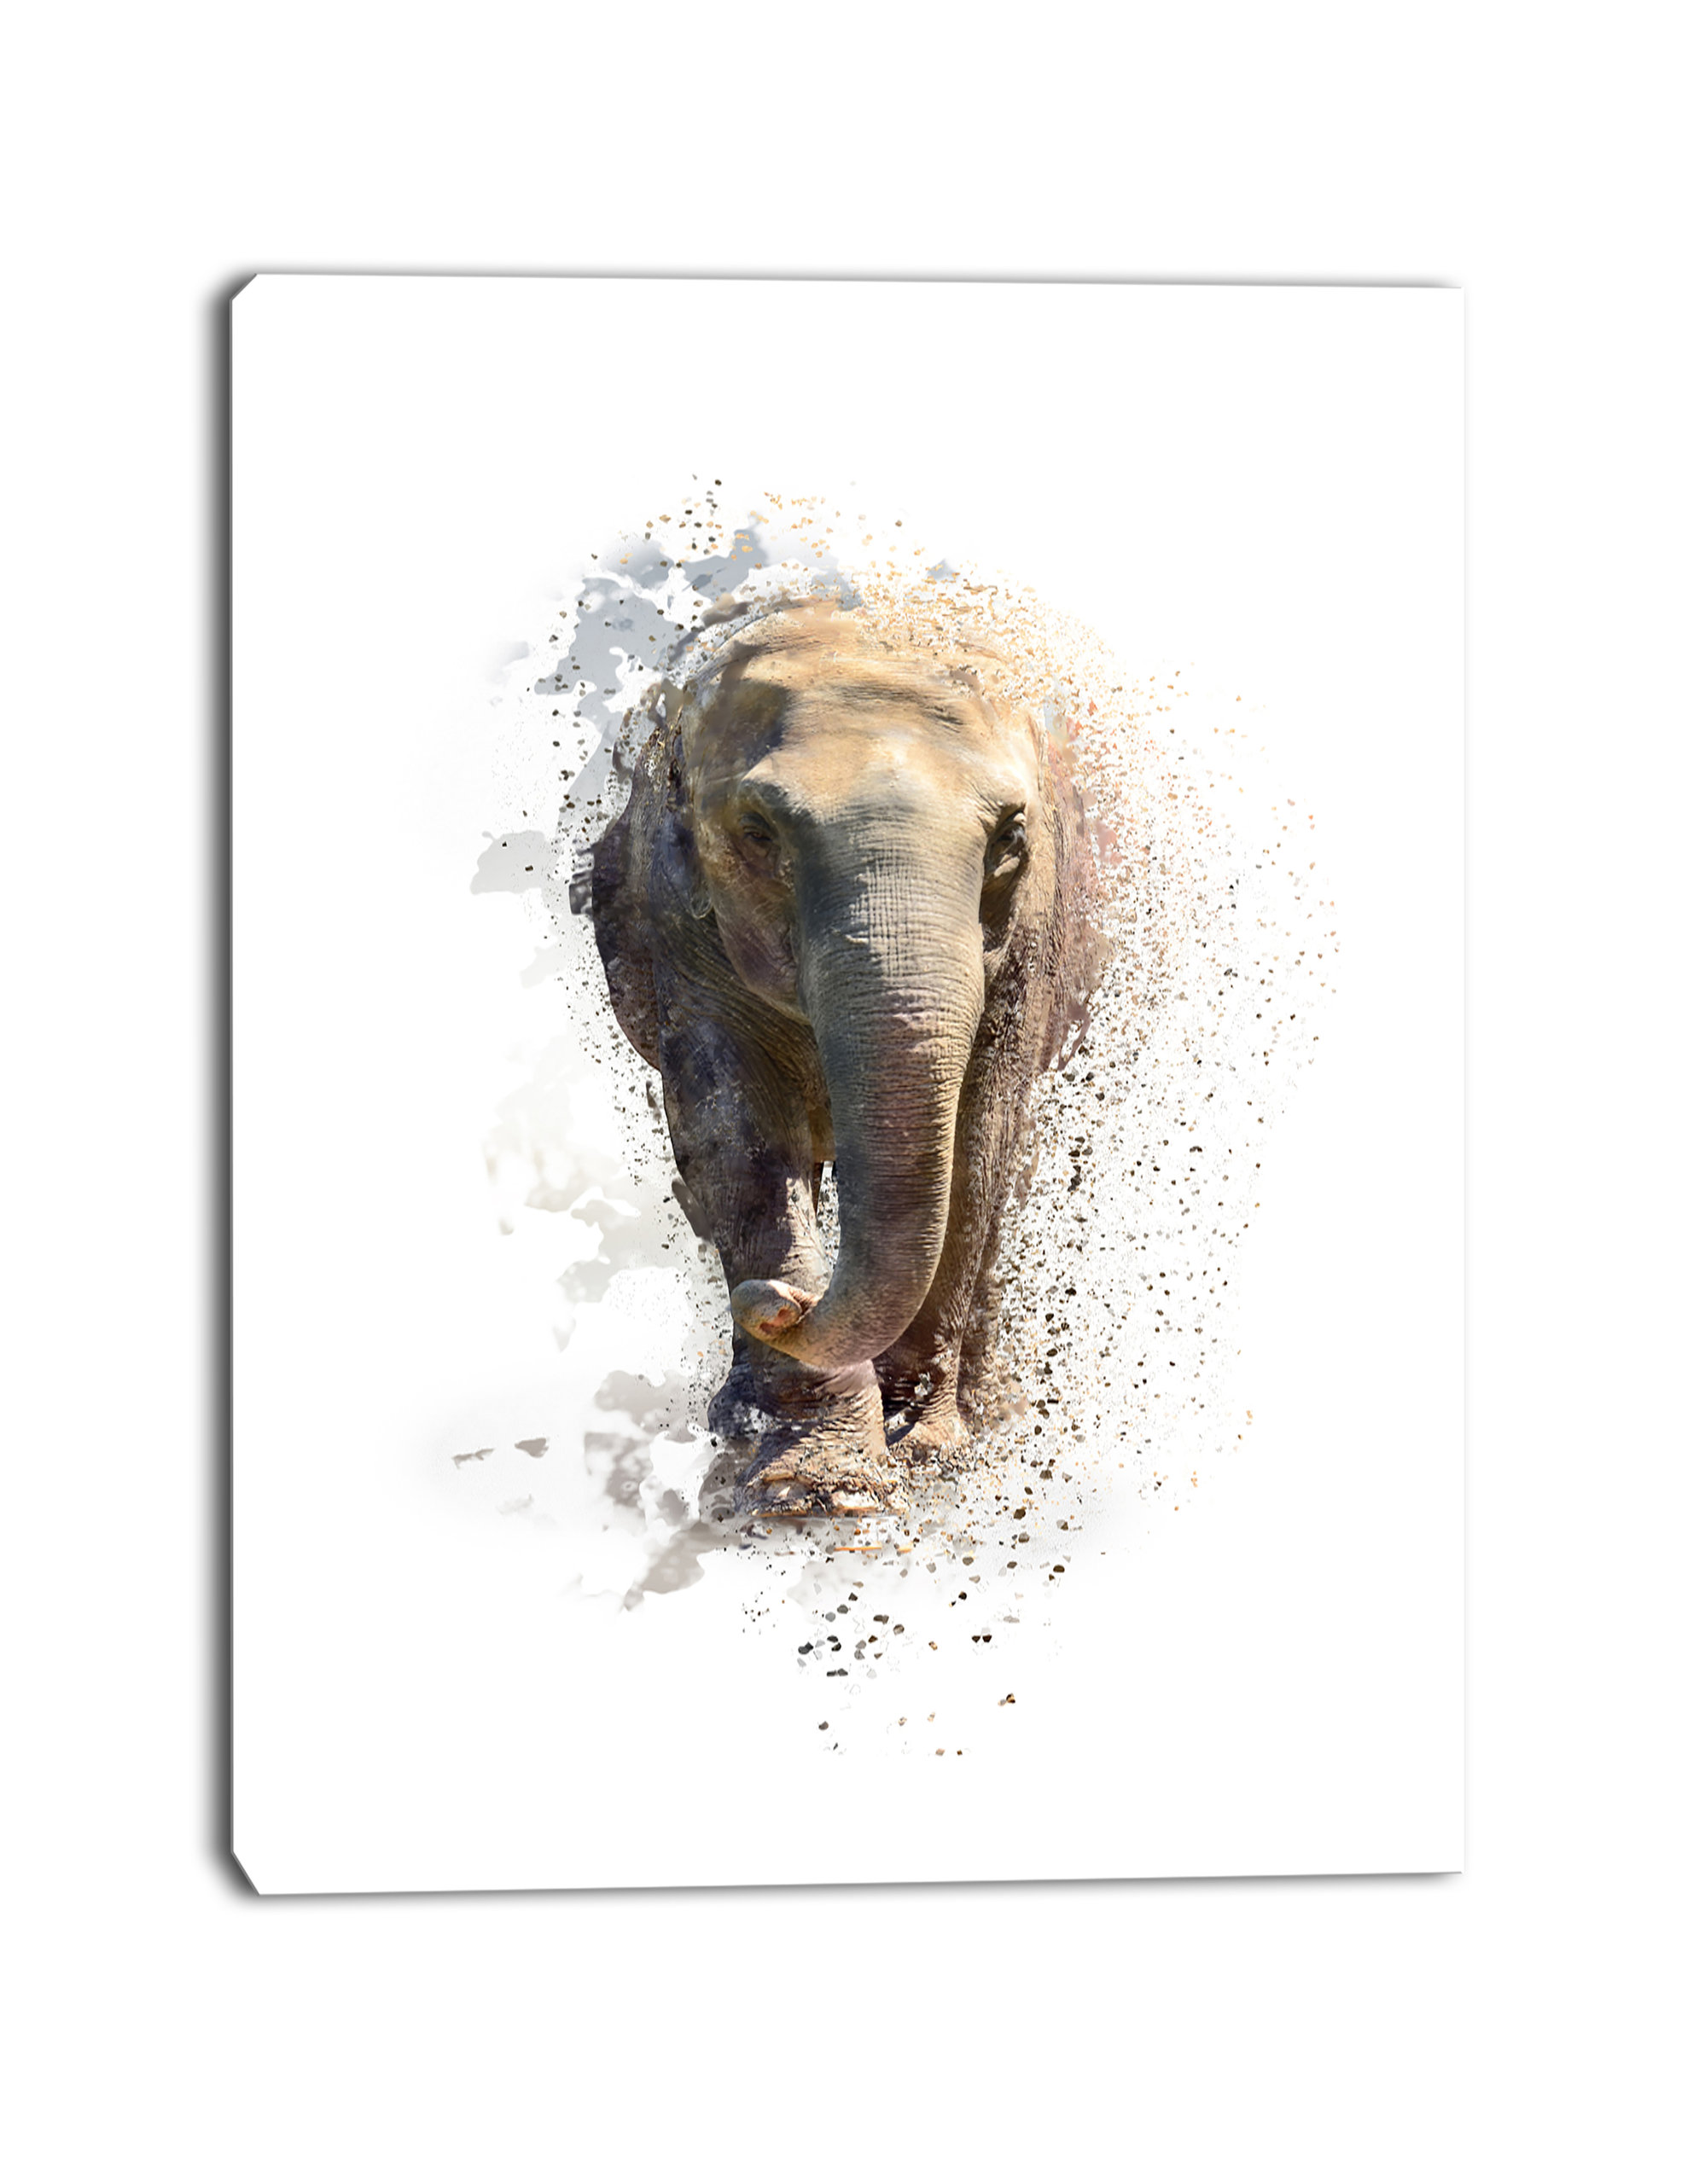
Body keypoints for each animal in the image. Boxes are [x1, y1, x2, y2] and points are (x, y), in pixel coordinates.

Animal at [584, 598, 1103, 1517]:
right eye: (756, 831)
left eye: (1011, 834)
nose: (776, 1305)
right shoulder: (671, 918)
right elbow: (735, 1137)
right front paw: (812, 1488)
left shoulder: (1035, 934)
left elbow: (977, 1144)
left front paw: (923, 1449)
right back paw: (738, 1419)